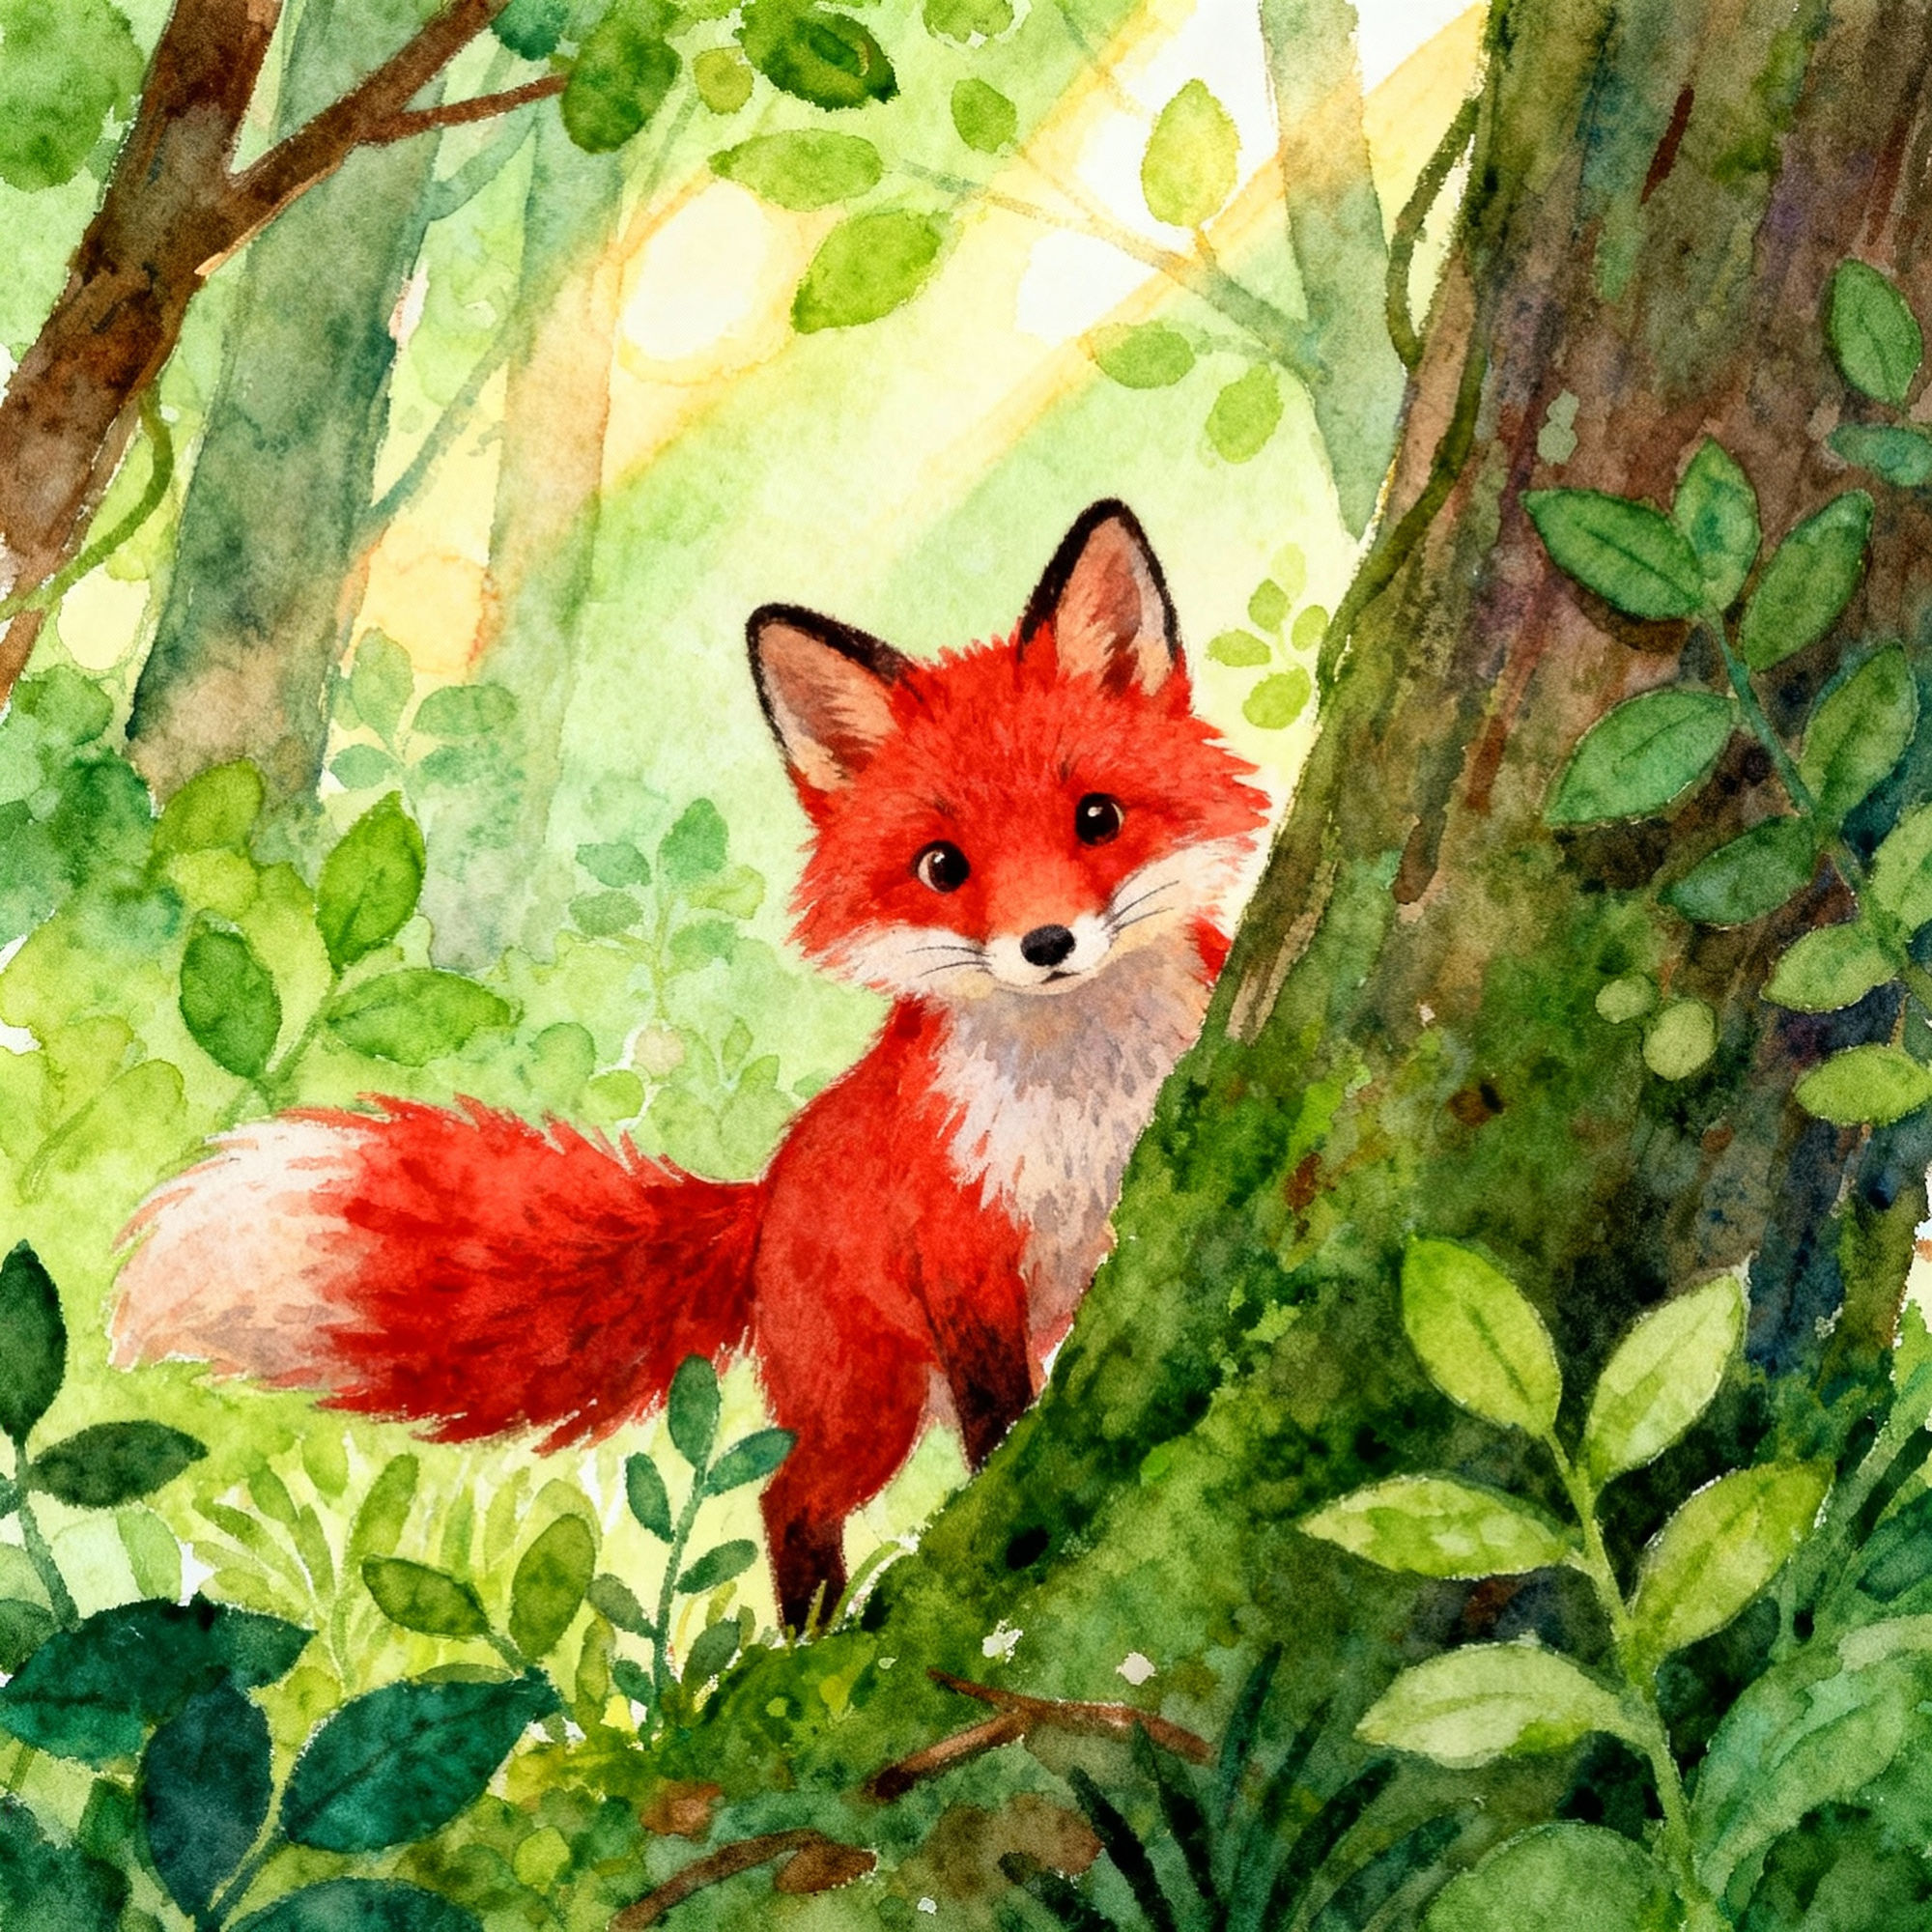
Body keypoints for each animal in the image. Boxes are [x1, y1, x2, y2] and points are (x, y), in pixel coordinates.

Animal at [112, 501, 1270, 1628]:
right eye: (944, 867)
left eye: (1096, 817)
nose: (1046, 944)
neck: (1079, 1093)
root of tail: (764, 1198)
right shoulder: (962, 1249)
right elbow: (995, 1418)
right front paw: (996, 1492)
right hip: (869, 1397)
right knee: (789, 1497)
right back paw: (806, 1639)